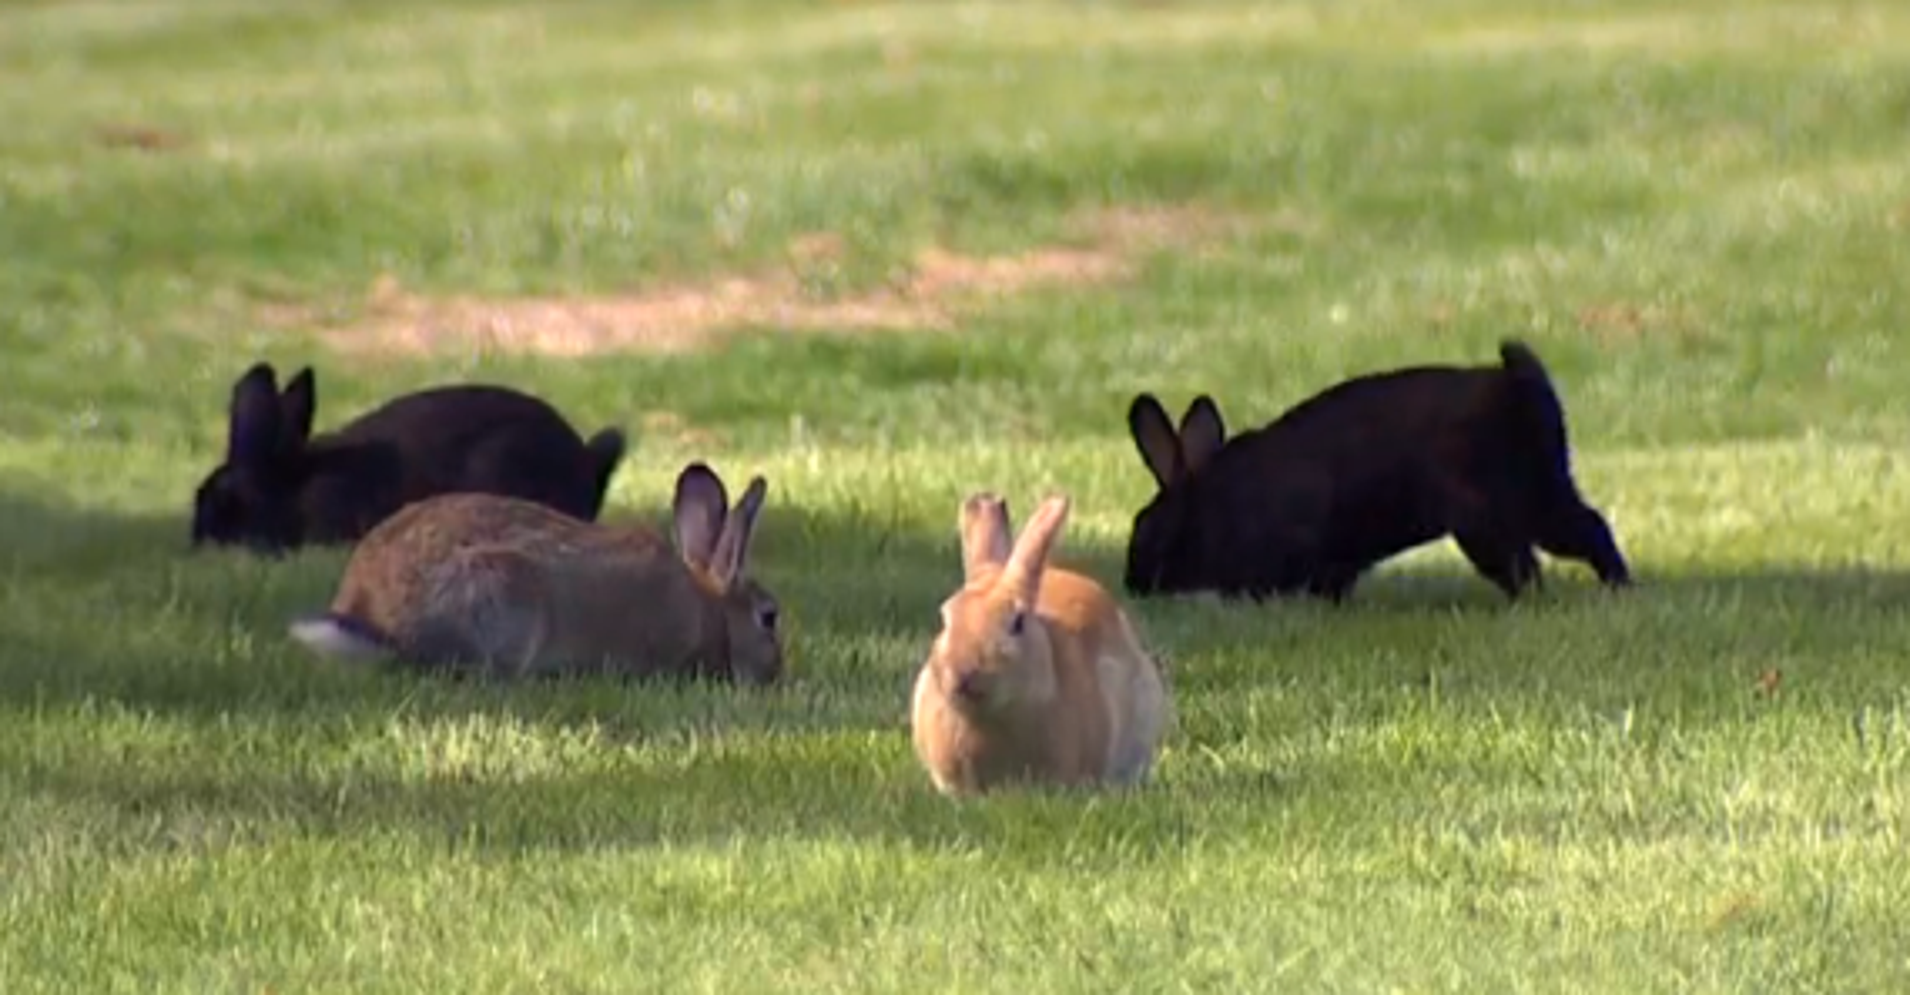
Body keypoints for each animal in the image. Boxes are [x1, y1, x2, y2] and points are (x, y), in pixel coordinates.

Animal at [1124, 339, 1631, 603]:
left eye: (1144, 528)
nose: (1133, 584)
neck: (1208, 507)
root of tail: (1517, 386)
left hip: (1483, 520)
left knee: (1525, 568)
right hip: (1544, 498)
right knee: (1589, 531)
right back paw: (1620, 588)